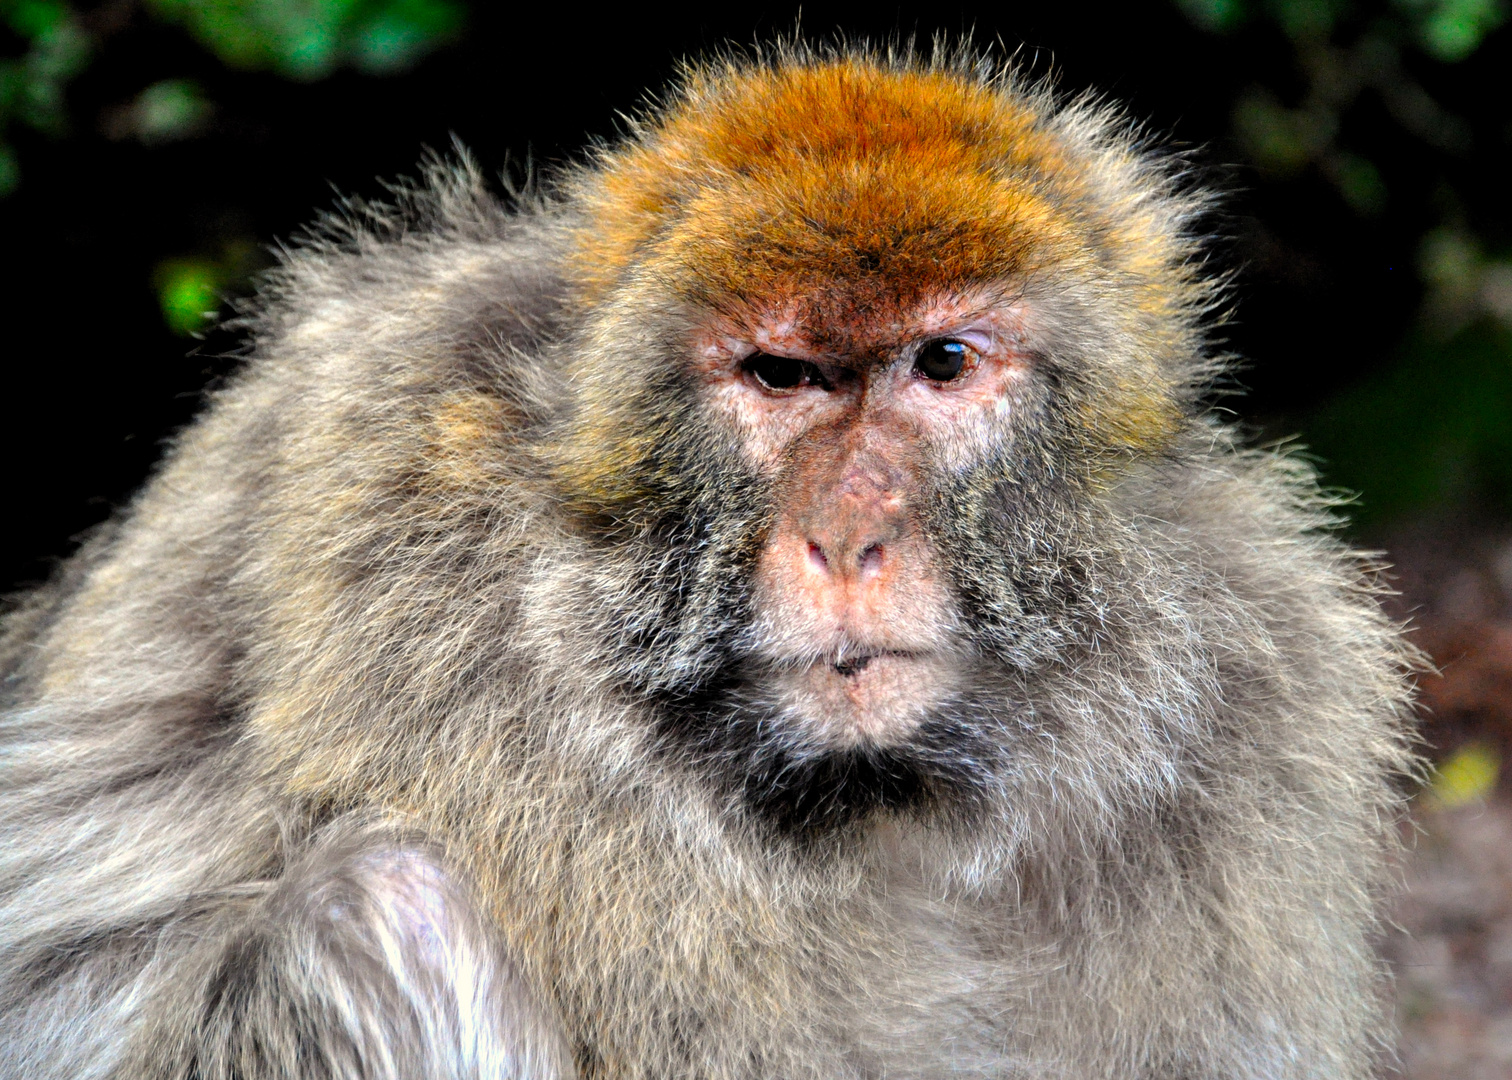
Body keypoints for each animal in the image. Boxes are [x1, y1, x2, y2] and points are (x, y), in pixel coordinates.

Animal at [0, 43, 1419, 1080]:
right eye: (780, 374)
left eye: (942, 362)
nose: (847, 533)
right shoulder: (434, 621)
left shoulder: (1250, 714)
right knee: (384, 915)